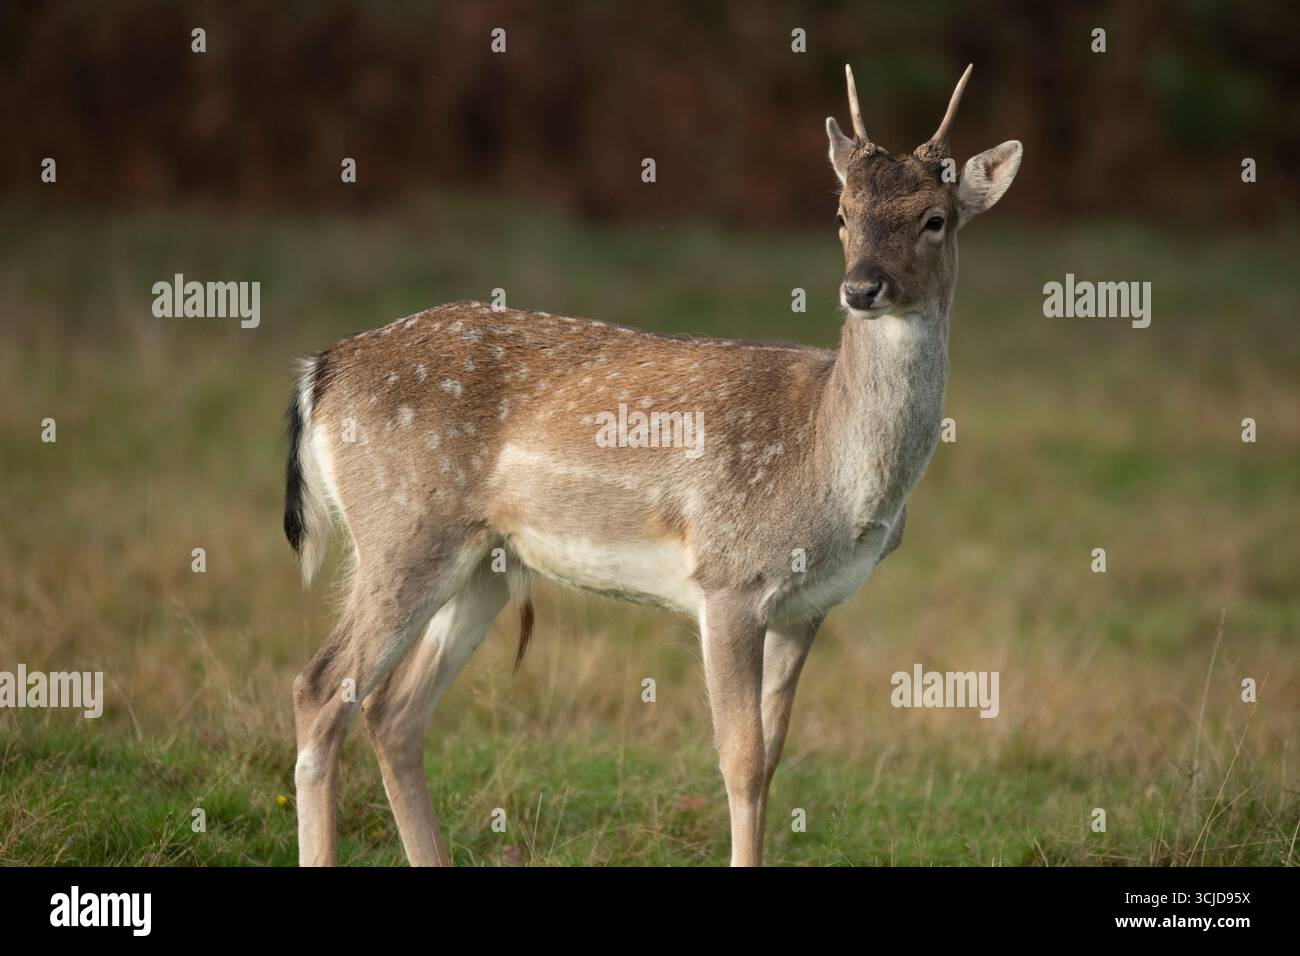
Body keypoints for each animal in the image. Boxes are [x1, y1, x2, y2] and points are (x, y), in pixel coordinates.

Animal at [283, 63, 1021, 866]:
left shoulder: (809, 607)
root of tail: (321, 371)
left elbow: (774, 757)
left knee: (393, 711)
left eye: (934, 219)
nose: (861, 288)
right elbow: (740, 760)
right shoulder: (730, 579)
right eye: (841, 213)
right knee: (319, 688)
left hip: (485, 562)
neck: (831, 469)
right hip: (403, 528)